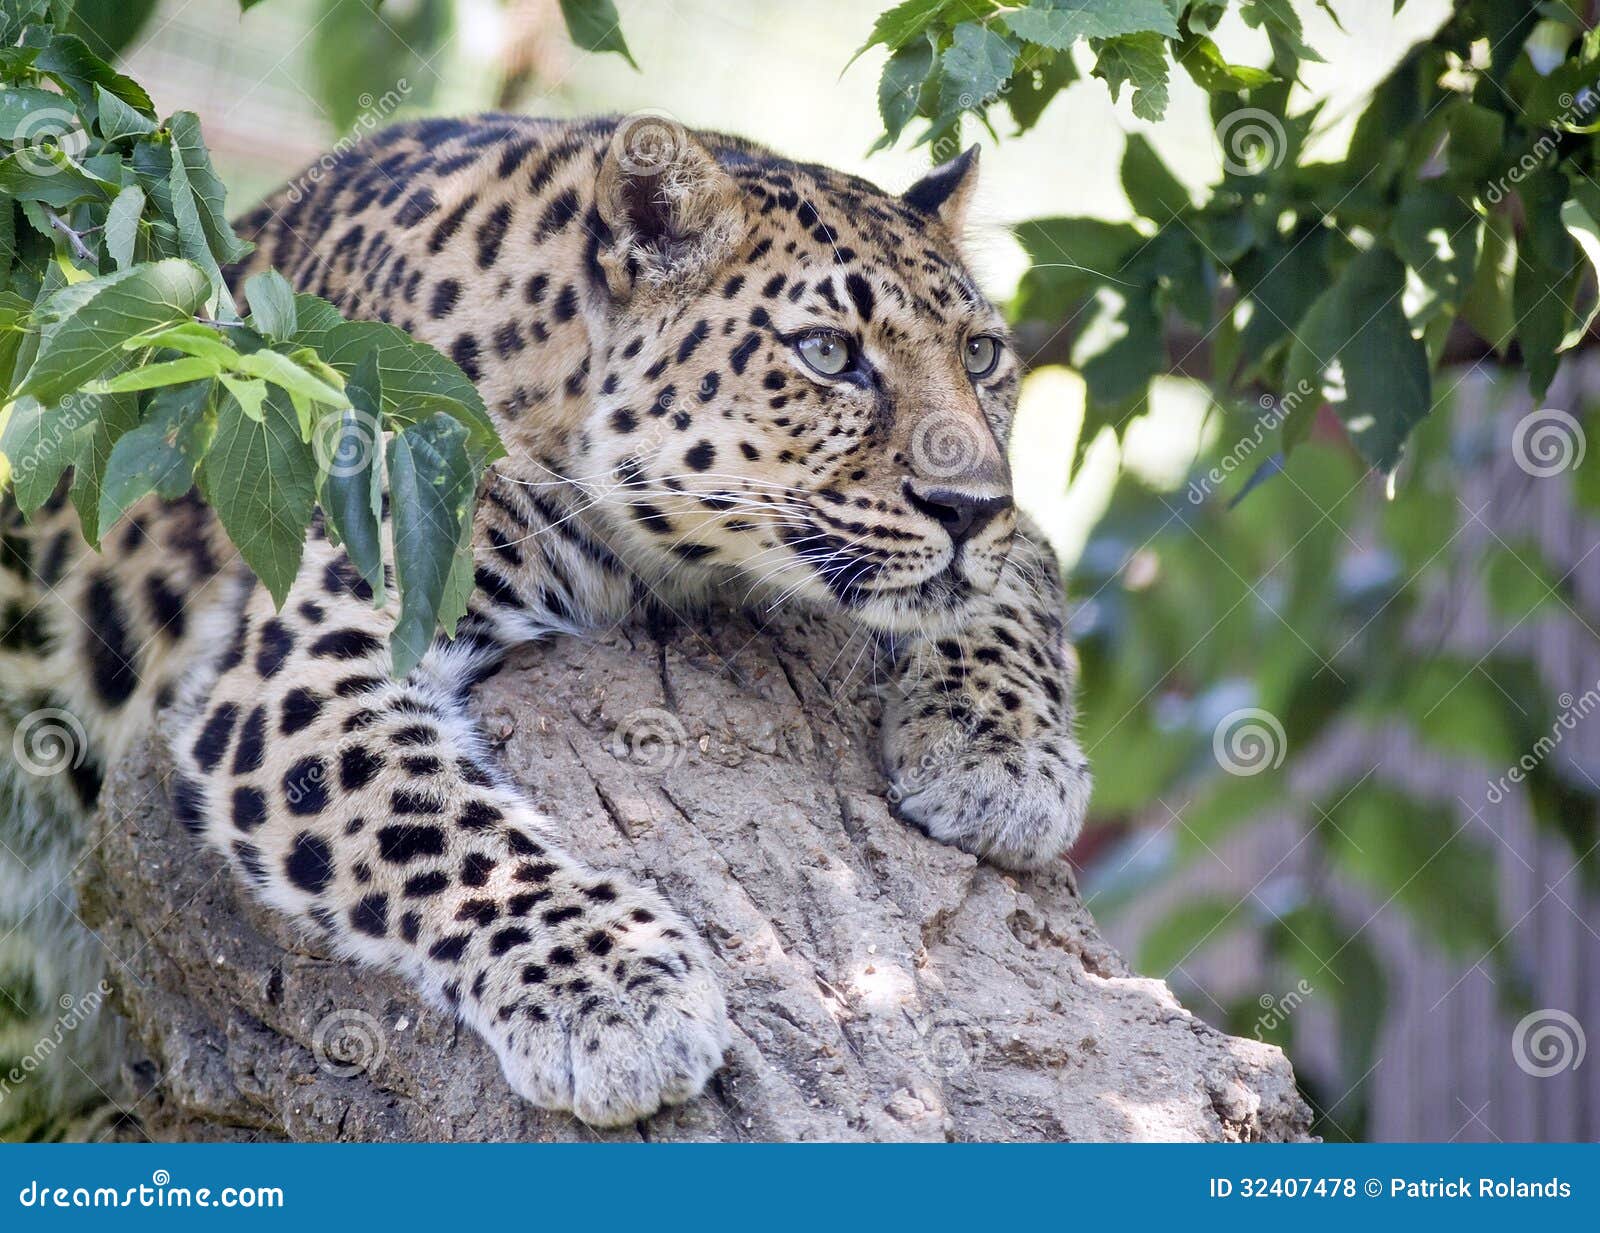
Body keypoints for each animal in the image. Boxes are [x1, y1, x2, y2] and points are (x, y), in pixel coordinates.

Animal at [0, 113, 1090, 1128]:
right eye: (828, 353)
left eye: (982, 355)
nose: (967, 507)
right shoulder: (304, 662)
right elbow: (438, 827)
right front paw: (613, 996)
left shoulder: (1010, 536)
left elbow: (1011, 589)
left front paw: (1000, 756)